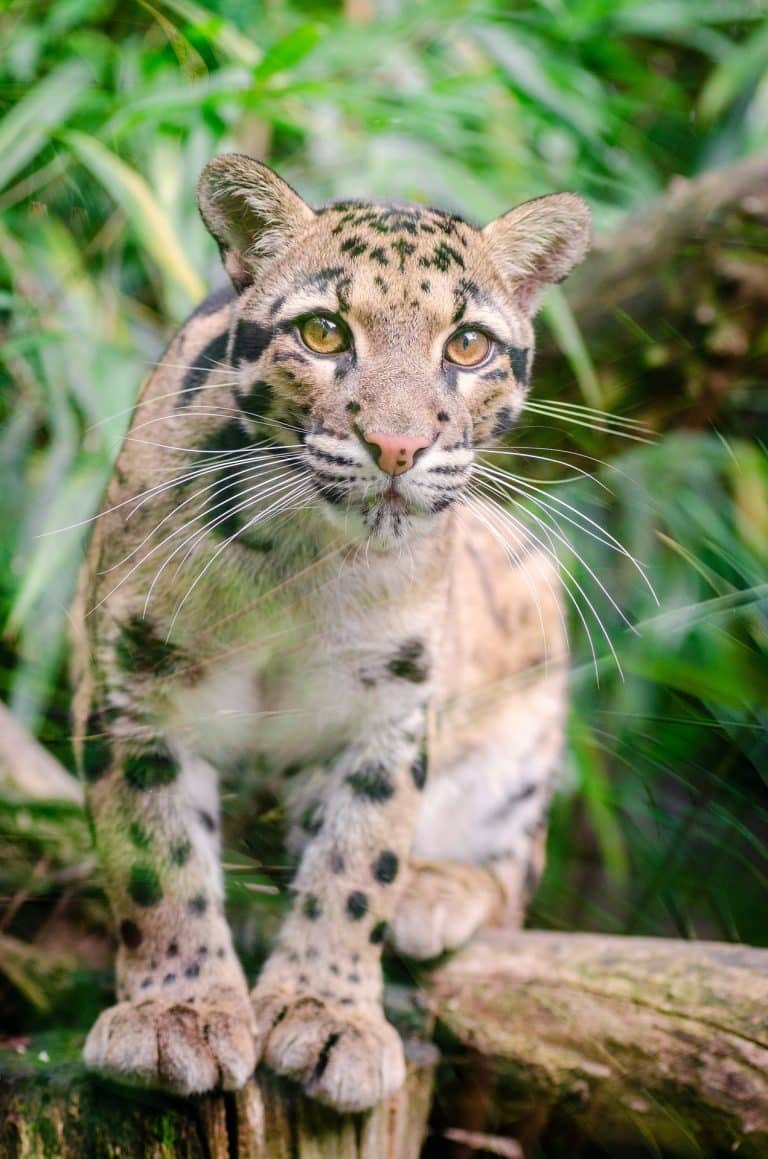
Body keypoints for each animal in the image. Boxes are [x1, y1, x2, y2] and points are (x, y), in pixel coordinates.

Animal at [72, 153, 590, 1112]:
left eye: (468, 345)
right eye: (322, 333)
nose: (396, 446)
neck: (306, 562)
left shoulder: (388, 705)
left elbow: (359, 861)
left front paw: (328, 1013)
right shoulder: (131, 681)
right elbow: (155, 857)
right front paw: (177, 1014)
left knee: (513, 874)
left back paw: (434, 890)